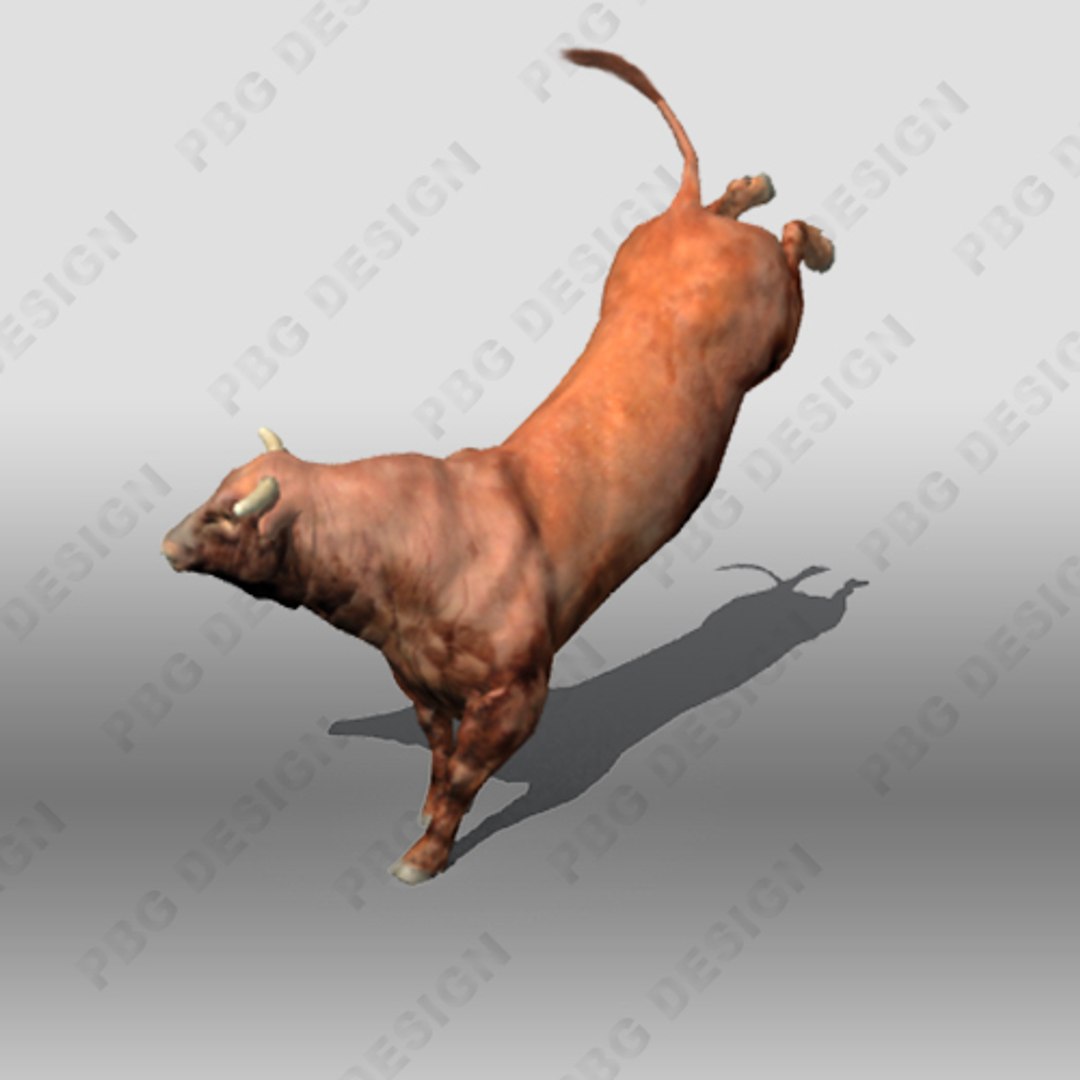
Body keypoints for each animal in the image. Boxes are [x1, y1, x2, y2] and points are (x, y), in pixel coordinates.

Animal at [162, 48, 834, 884]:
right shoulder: (417, 679)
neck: (408, 552)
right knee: (738, 207)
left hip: (775, 331)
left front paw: (424, 854)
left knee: (790, 244)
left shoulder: (517, 689)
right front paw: (424, 817)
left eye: (227, 518)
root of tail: (682, 217)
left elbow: (463, 772)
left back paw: (806, 230)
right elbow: (435, 753)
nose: (169, 543)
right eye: (211, 495)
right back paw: (749, 186)